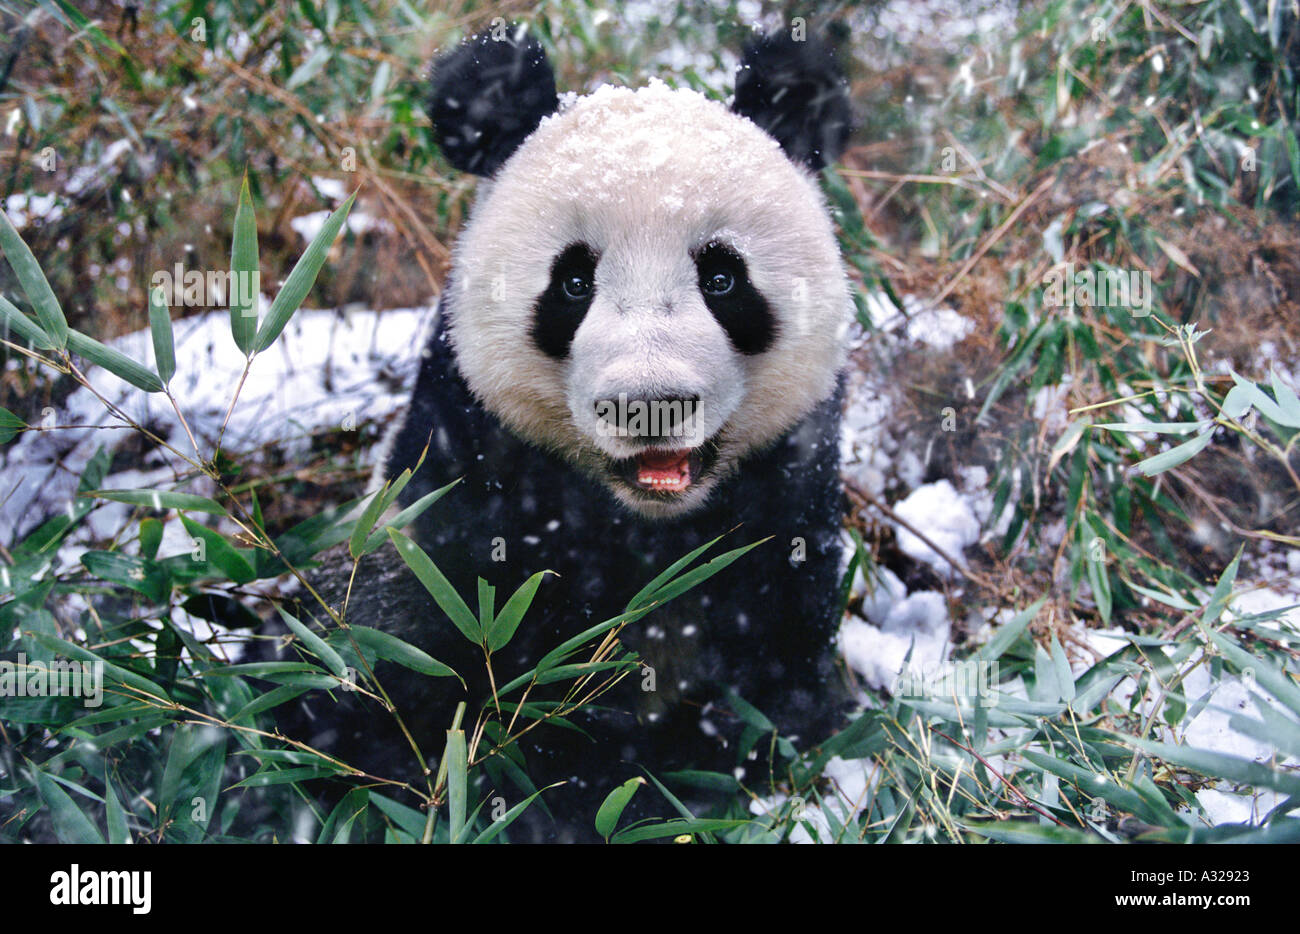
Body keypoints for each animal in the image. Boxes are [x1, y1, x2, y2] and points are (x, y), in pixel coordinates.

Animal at [293, 27, 855, 842]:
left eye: (722, 278)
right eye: (573, 282)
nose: (649, 403)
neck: (647, 522)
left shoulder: (791, 484)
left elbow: (785, 676)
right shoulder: (468, 471)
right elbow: (437, 672)